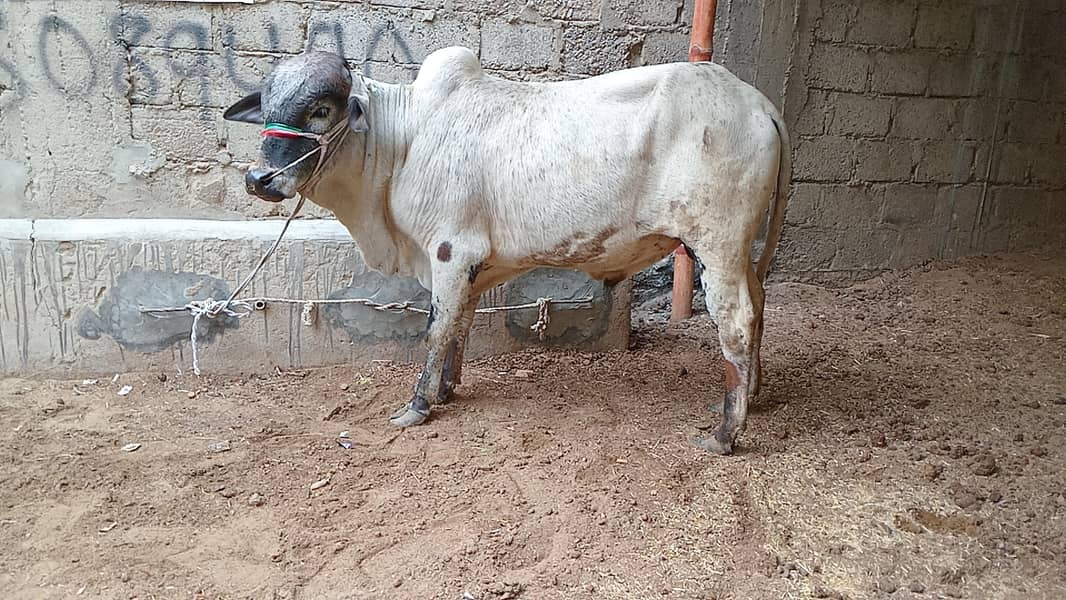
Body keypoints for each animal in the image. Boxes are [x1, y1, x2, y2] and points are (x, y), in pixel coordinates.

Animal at [223, 47, 791, 455]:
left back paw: (725, 433)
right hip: (741, 251)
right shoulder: (471, 266)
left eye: (321, 110)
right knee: (760, 306)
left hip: (716, 246)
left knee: (738, 323)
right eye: (267, 107)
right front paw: (447, 388)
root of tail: (759, 104)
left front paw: (420, 404)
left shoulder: (449, 251)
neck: (402, 141)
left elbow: (437, 330)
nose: (258, 180)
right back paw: (752, 398)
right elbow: (458, 326)